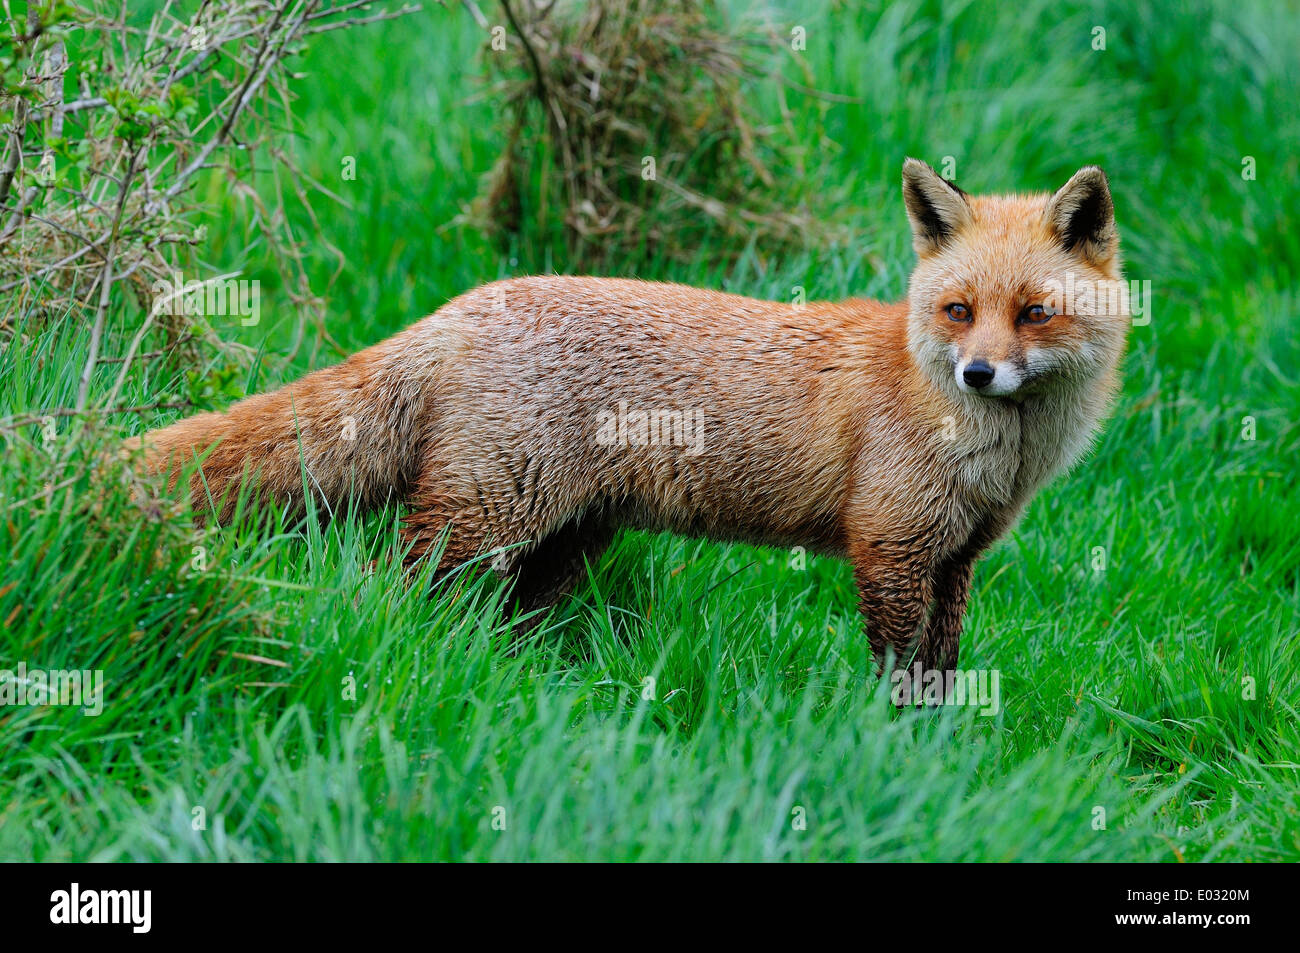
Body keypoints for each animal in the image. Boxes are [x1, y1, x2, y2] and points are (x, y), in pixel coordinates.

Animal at [127, 159, 1129, 678]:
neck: (1000, 459)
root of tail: (464, 307)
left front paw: (940, 749)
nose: (978, 372)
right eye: (960, 311)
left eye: (1034, 313)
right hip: (483, 517)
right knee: (399, 586)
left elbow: (943, 671)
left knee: (501, 614)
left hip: (562, 538)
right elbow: (892, 667)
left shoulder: (957, 557)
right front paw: (887, 740)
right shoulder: (889, 543)